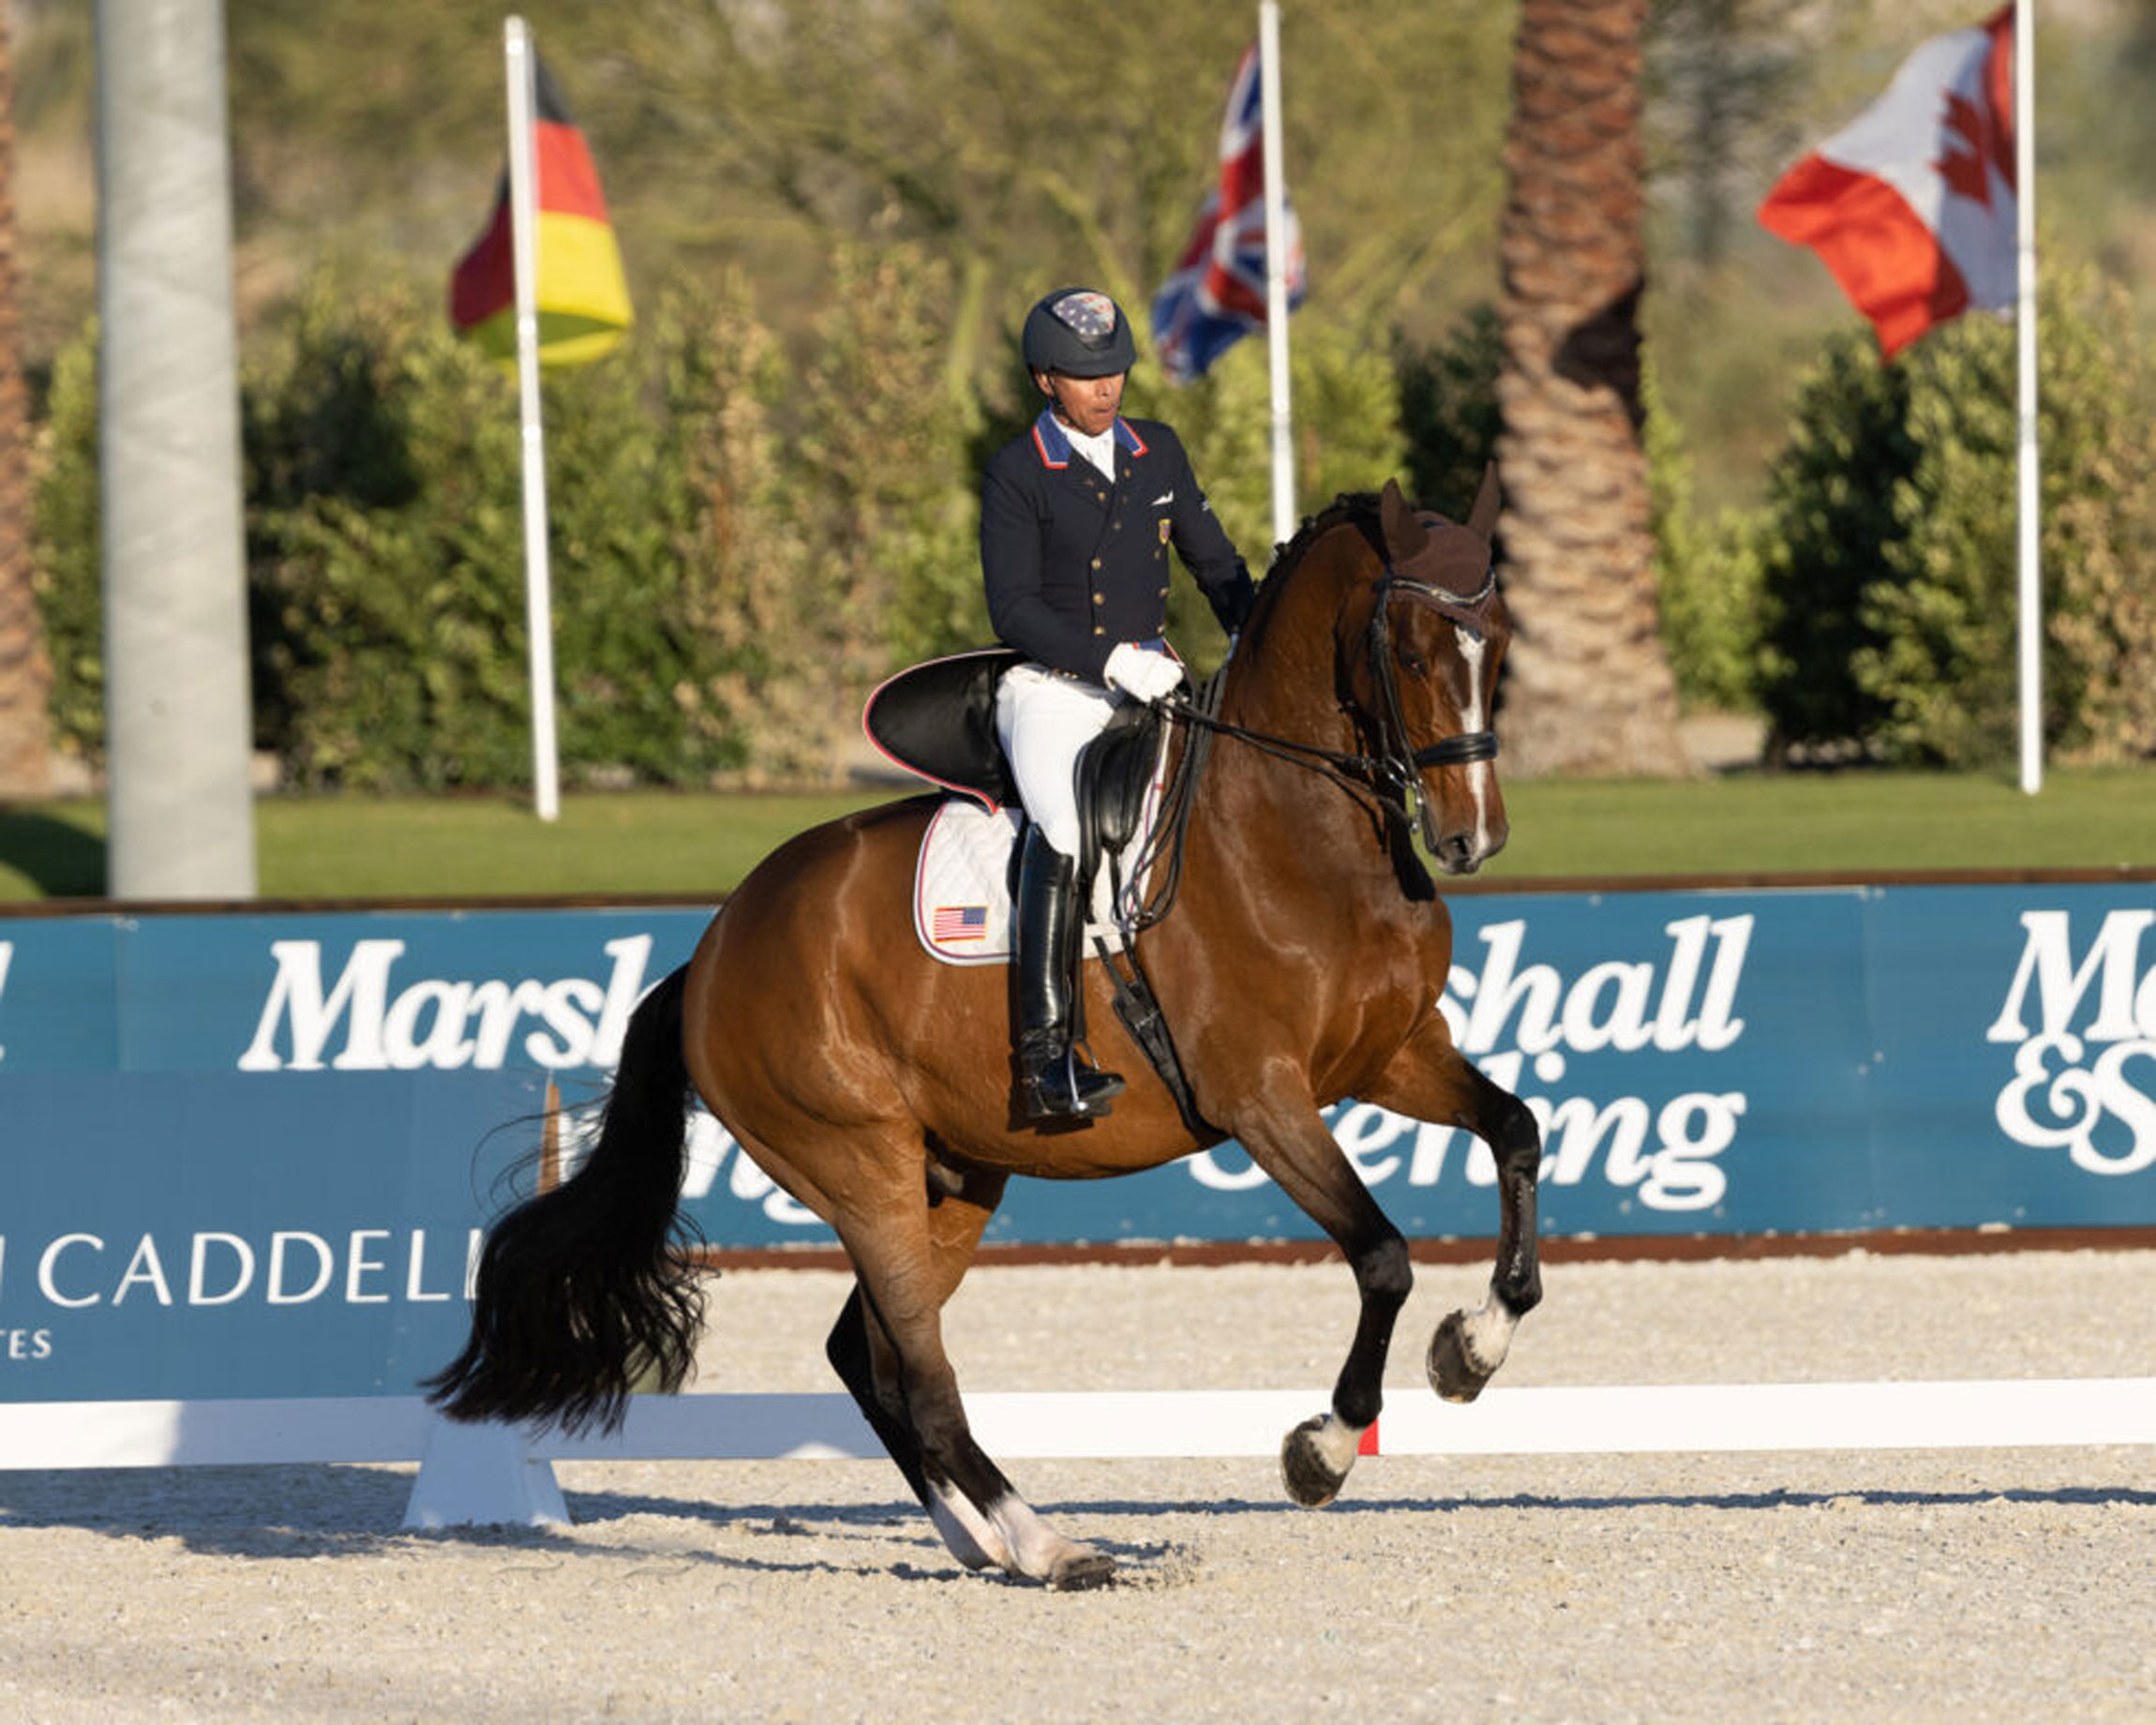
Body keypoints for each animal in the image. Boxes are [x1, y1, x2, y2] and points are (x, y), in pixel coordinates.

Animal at [426, 473, 1545, 1590]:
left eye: (1496, 644)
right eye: (1410, 653)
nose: (1472, 837)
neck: (1302, 836)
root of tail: (711, 951)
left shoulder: (1391, 1055)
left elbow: (1516, 1131)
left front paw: (1474, 1347)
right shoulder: (1263, 1097)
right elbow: (1382, 1254)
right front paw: (1323, 1448)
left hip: (956, 1173)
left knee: (870, 1353)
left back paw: (981, 1539)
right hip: (860, 1166)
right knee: (919, 1372)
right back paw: (1048, 1545)